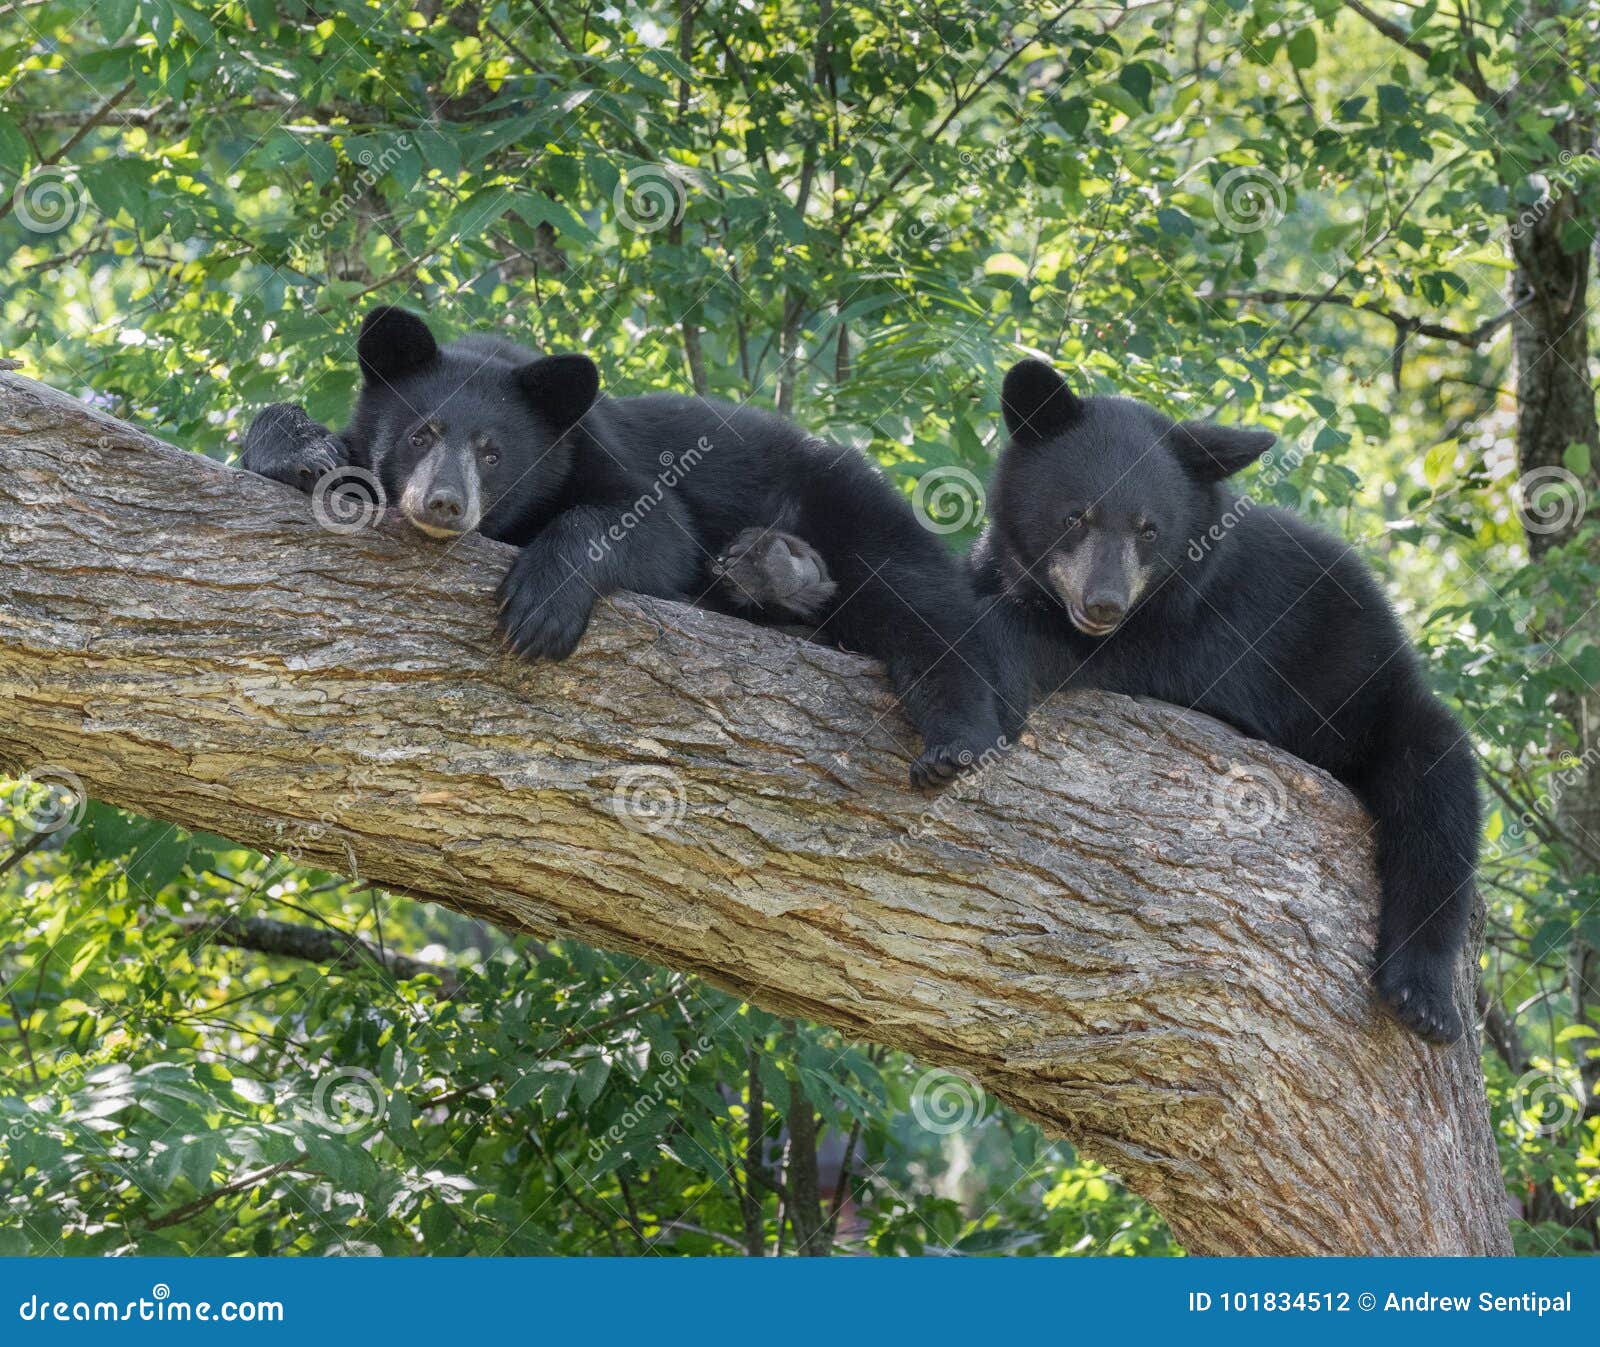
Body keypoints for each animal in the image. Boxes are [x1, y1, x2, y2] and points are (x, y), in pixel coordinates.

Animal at [239, 306, 1003, 787]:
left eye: (493, 451)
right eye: (420, 433)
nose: (444, 504)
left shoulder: (600, 450)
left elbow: (657, 527)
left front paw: (538, 610)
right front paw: (299, 451)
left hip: (855, 510)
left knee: (928, 616)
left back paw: (952, 742)